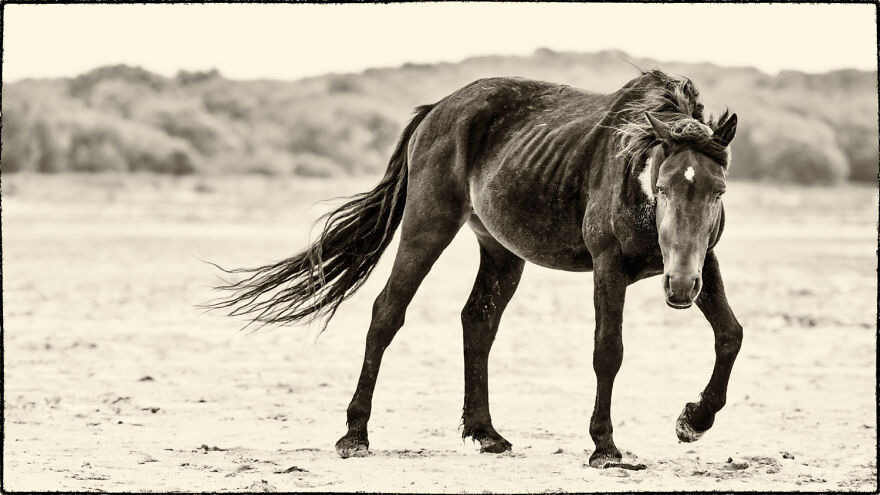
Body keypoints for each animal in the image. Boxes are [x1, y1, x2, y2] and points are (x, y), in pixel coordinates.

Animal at [207, 69, 742, 469]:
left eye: (718, 191)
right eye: (664, 188)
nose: (679, 289)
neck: (637, 170)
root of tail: (437, 109)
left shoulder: (703, 264)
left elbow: (730, 335)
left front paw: (694, 420)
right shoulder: (608, 268)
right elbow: (608, 351)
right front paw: (605, 447)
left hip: (502, 251)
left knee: (477, 321)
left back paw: (486, 433)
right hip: (428, 226)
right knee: (387, 312)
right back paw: (355, 435)